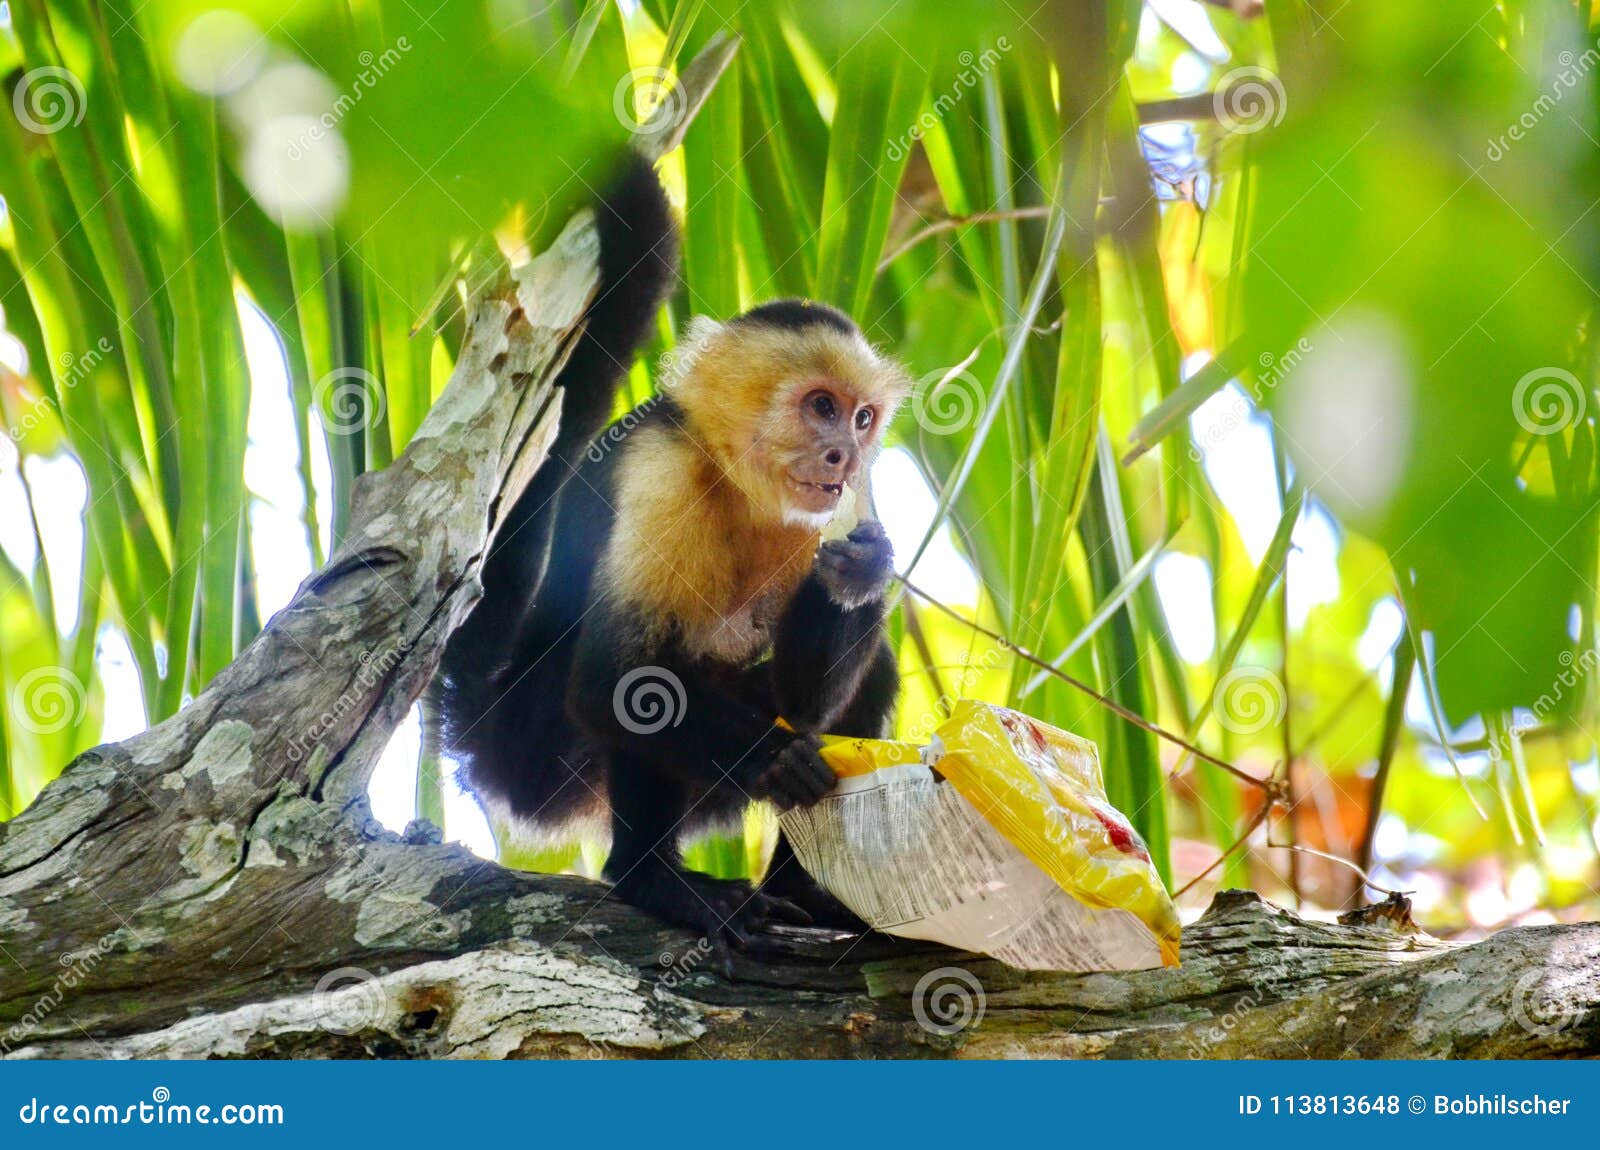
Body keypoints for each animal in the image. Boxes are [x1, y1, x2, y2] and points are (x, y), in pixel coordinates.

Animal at [437, 152, 911, 965]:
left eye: (862, 418)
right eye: (820, 406)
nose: (844, 454)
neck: (737, 481)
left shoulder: (844, 505)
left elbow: (806, 703)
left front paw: (862, 575)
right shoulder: (662, 471)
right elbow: (617, 684)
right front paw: (774, 760)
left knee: (862, 678)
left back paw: (808, 892)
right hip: (549, 759)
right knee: (638, 685)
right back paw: (653, 881)